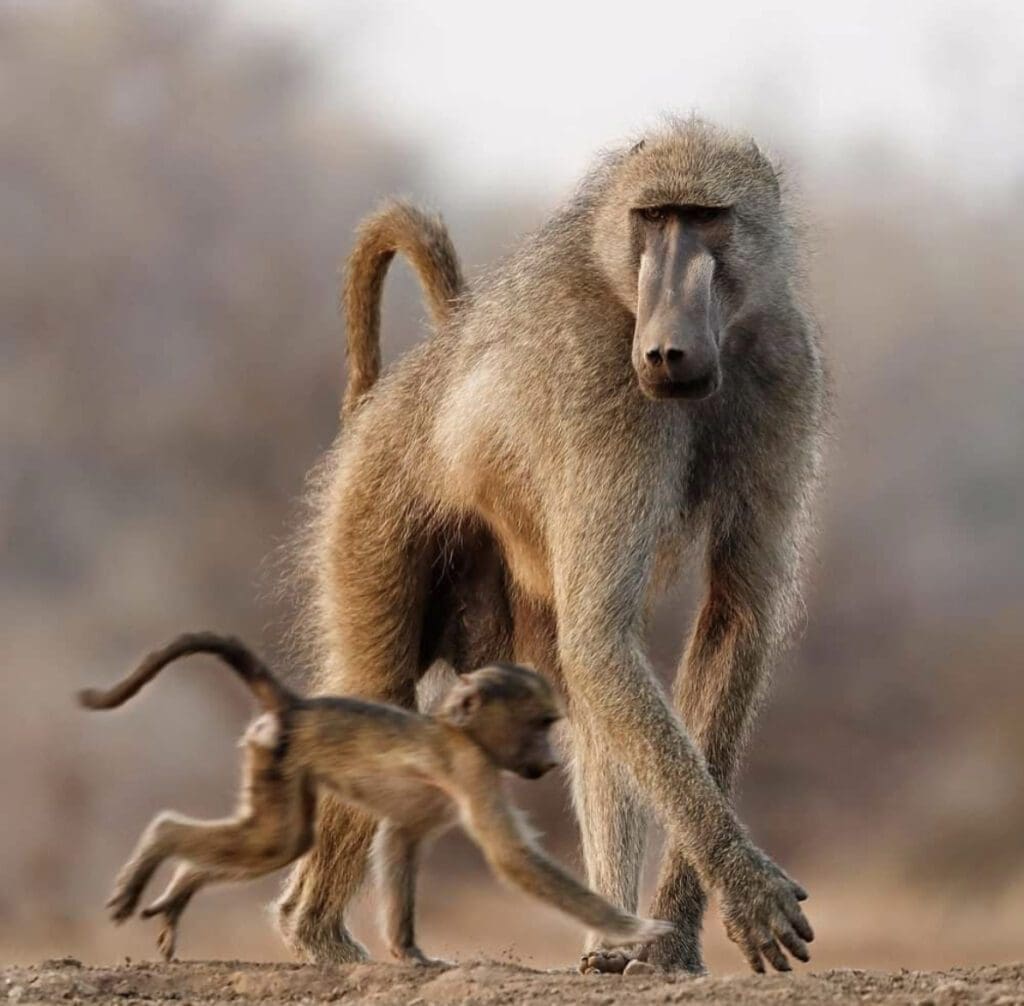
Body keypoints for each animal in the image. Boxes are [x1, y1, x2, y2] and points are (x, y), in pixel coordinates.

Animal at [79, 632, 671, 964]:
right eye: (541, 724)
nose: (548, 761)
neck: (459, 730)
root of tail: (296, 707)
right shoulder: (472, 769)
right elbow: (512, 858)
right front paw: (633, 928)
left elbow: (400, 844)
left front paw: (410, 953)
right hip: (276, 759)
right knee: (271, 841)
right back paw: (158, 848)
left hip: (273, 762)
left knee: (282, 841)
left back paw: (183, 886)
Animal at [277, 116, 827, 975]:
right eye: (652, 219)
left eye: (705, 218)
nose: (665, 350)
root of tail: (416, 376)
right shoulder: (606, 394)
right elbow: (603, 639)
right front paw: (745, 887)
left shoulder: (785, 369)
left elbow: (729, 619)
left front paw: (678, 939)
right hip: (371, 508)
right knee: (383, 684)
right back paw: (318, 936)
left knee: (587, 691)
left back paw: (612, 944)